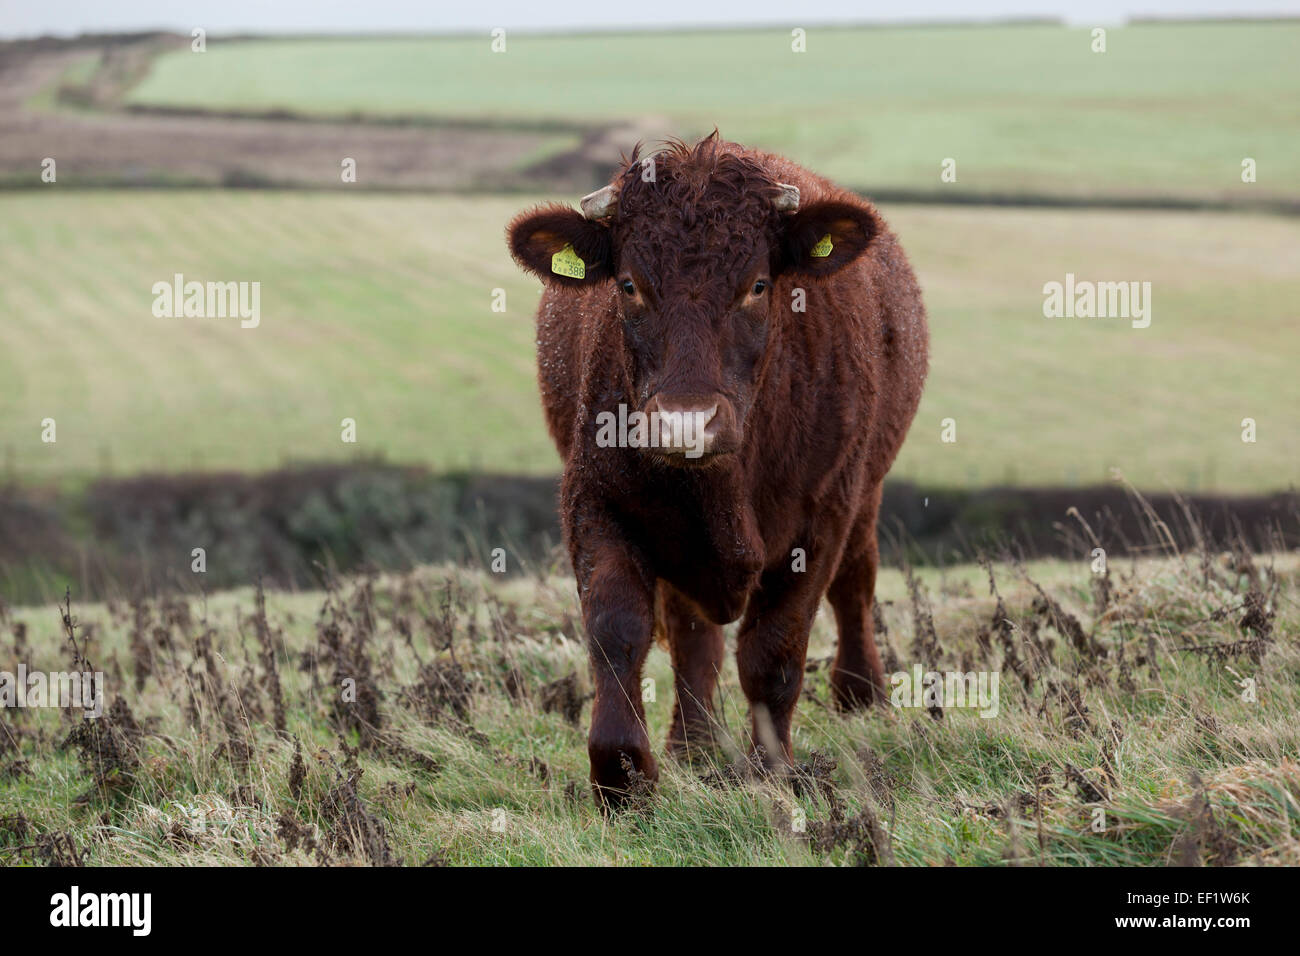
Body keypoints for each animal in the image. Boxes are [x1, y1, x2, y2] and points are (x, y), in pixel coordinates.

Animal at [507, 133, 928, 809]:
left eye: (757, 285)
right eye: (629, 284)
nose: (685, 424)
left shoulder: (823, 516)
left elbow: (774, 649)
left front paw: (773, 771)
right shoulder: (596, 500)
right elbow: (617, 627)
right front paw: (622, 775)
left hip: (866, 495)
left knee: (856, 582)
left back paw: (861, 695)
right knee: (692, 636)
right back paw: (694, 744)